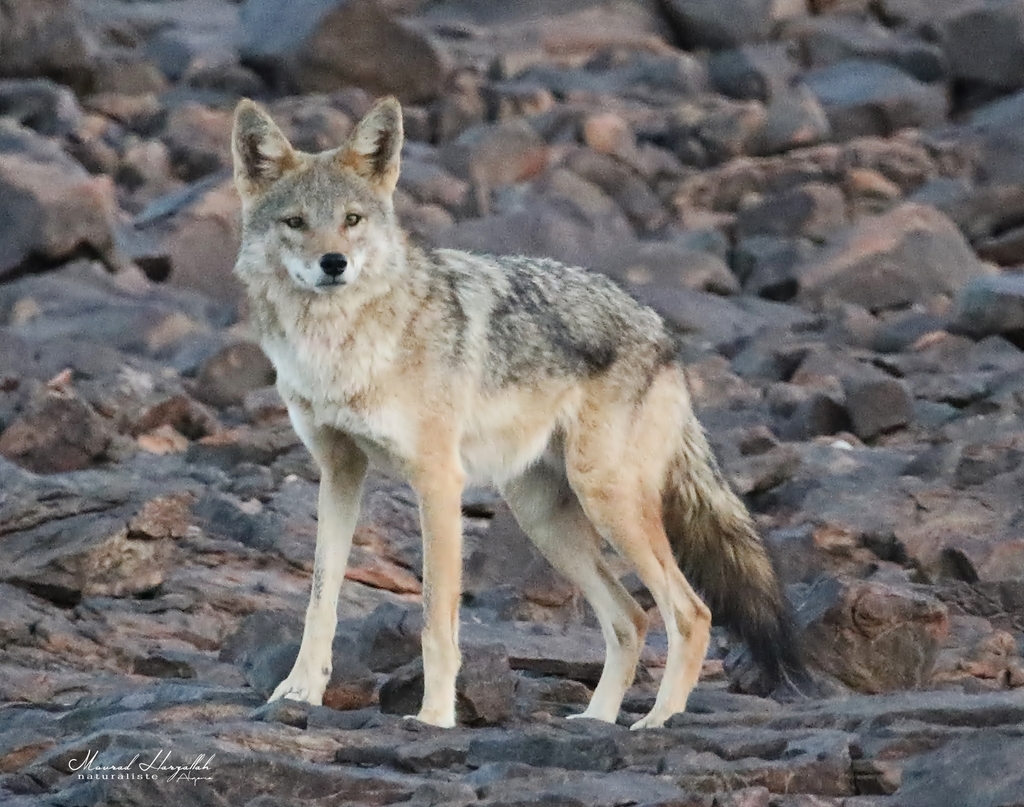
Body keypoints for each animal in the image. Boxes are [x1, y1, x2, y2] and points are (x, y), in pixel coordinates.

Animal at [230, 96, 805, 730]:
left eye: (352, 220)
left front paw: (434, 718)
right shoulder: (339, 473)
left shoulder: (438, 481)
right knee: (632, 618)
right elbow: (320, 599)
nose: (333, 263)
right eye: (296, 223)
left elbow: (436, 620)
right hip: (545, 519)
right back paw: (595, 722)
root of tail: (662, 332)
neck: (338, 349)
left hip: (605, 500)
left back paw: (657, 722)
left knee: (691, 612)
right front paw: (299, 691)